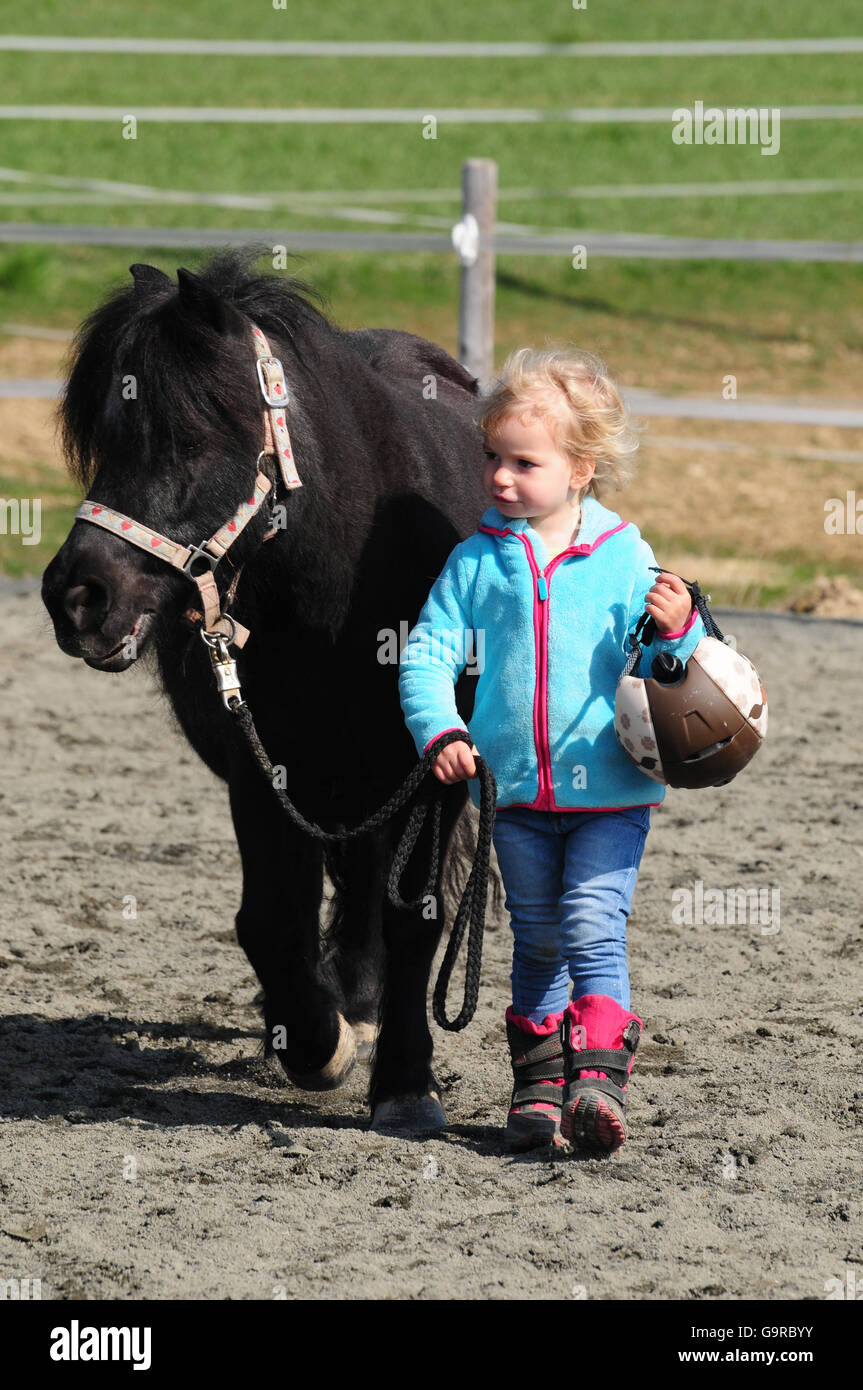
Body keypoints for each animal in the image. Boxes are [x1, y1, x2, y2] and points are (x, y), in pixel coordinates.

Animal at [41, 247, 493, 1131]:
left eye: (186, 438)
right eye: (104, 439)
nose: (75, 596)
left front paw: (404, 1086)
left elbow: (414, 916)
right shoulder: (262, 767)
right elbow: (271, 923)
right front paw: (317, 1043)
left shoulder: (432, 773)